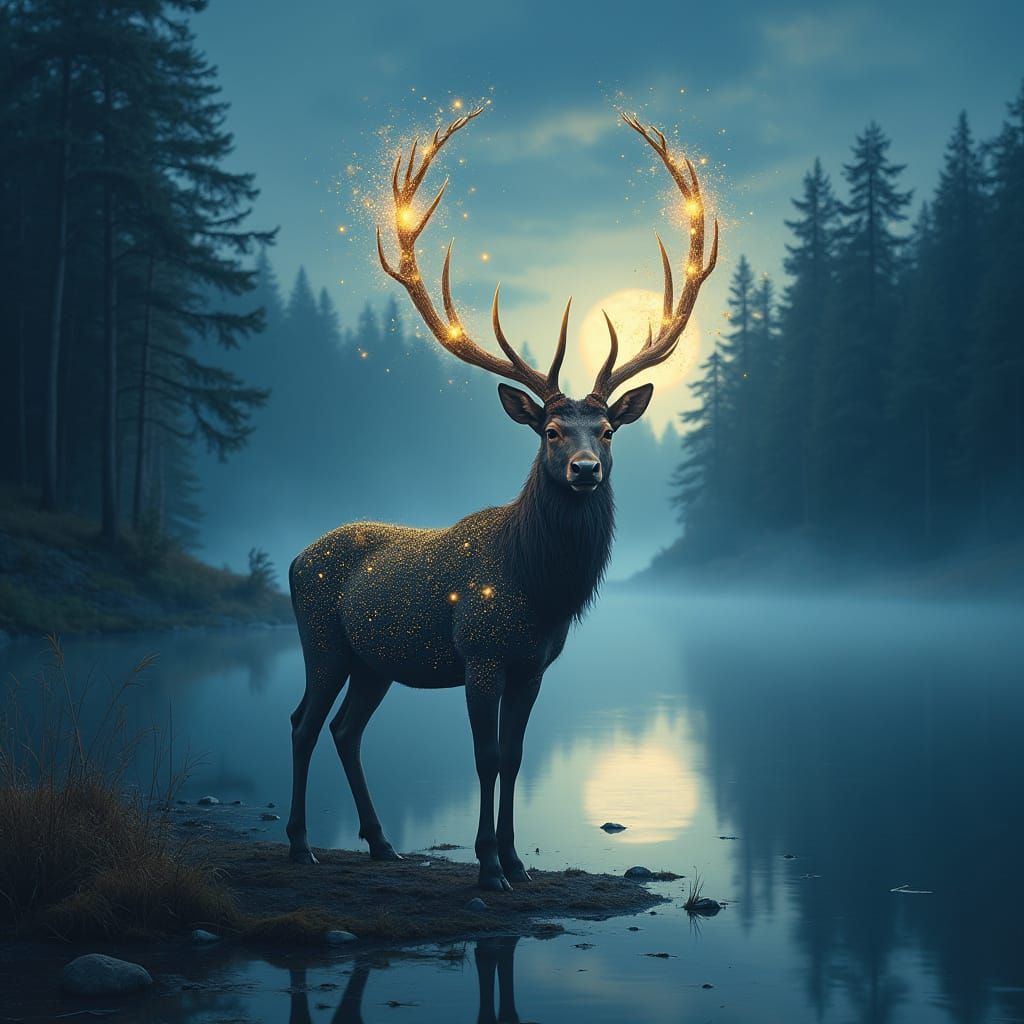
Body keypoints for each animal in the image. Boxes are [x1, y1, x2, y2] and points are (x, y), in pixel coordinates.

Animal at [286, 110, 718, 891]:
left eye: (608, 429)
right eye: (550, 429)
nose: (585, 470)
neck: (537, 589)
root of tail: (293, 562)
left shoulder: (533, 664)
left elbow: (514, 758)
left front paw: (516, 862)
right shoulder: (480, 652)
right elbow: (485, 757)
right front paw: (487, 869)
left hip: (373, 661)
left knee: (343, 727)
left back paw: (380, 842)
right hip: (323, 640)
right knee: (304, 721)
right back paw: (301, 843)